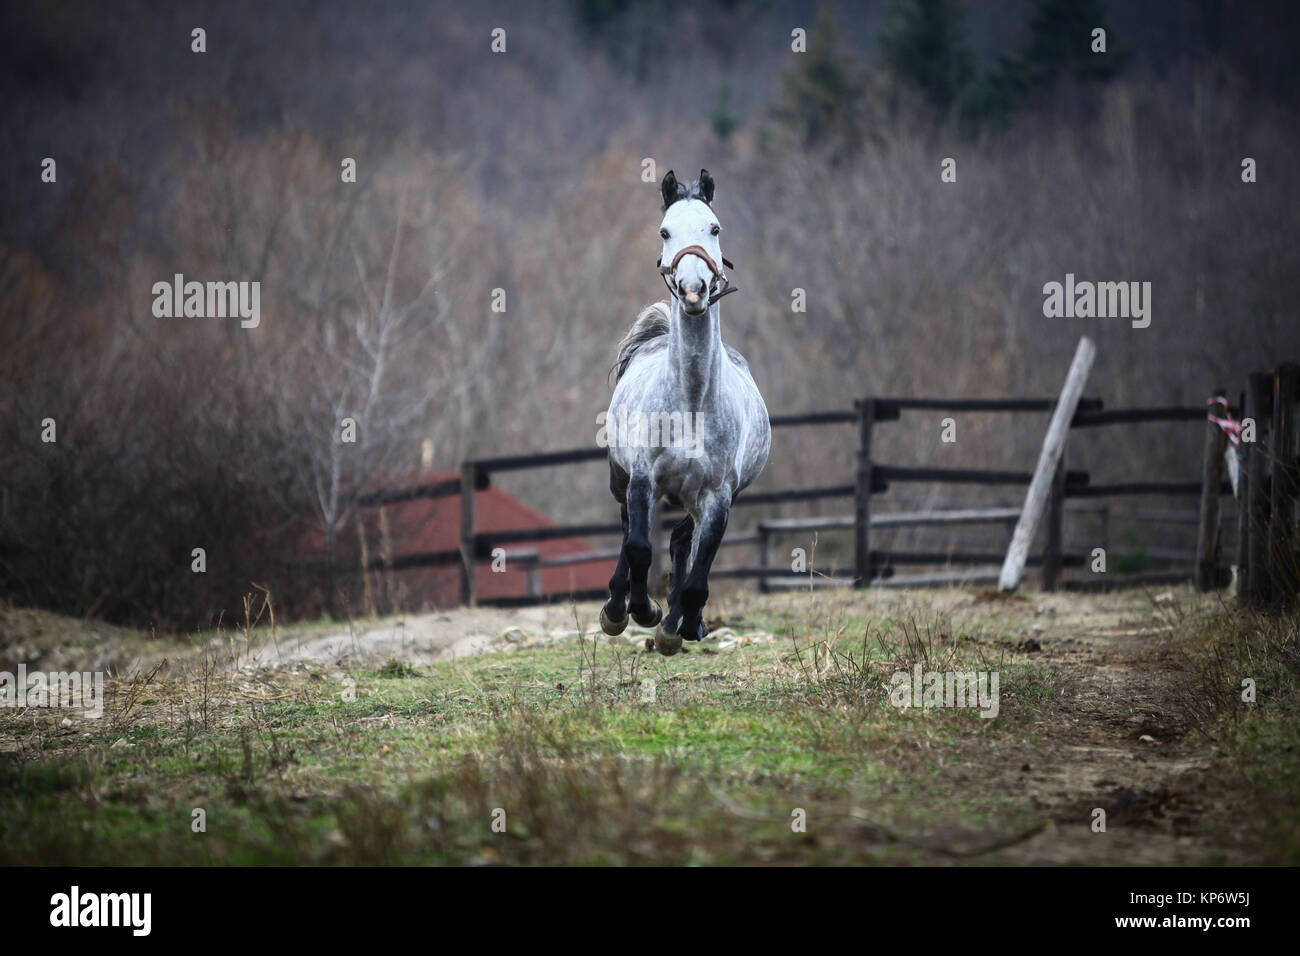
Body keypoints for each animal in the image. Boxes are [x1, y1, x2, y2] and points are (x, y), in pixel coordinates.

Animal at [599, 168, 771, 656]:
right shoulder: (642, 480)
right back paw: (620, 606)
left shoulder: (719, 498)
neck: (691, 405)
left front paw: (679, 625)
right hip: (621, 478)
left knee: (680, 541)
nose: (694, 291)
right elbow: (639, 546)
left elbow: (697, 574)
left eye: (714, 228)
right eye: (664, 231)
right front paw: (638, 611)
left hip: (696, 499)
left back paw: (680, 621)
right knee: (629, 533)